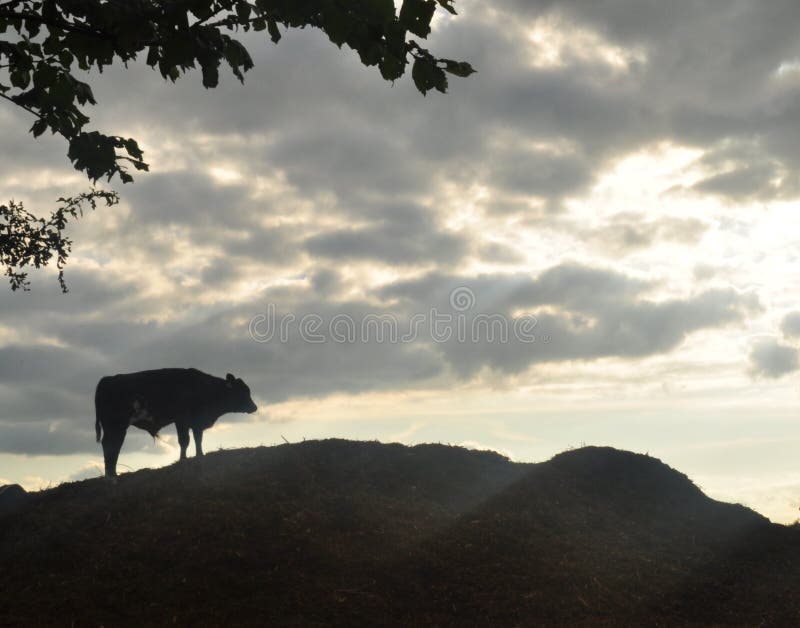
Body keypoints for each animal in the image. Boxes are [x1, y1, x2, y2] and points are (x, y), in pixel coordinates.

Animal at [95, 368, 258, 477]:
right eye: (242, 391)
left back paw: (112, 473)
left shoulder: (196, 422)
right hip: (115, 425)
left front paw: (199, 455)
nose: (254, 407)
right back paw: (111, 475)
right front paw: (183, 459)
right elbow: (184, 441)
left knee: (112, 445)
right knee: (111, 445)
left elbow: (198, 439)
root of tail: (107, 379)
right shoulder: (182, 420)